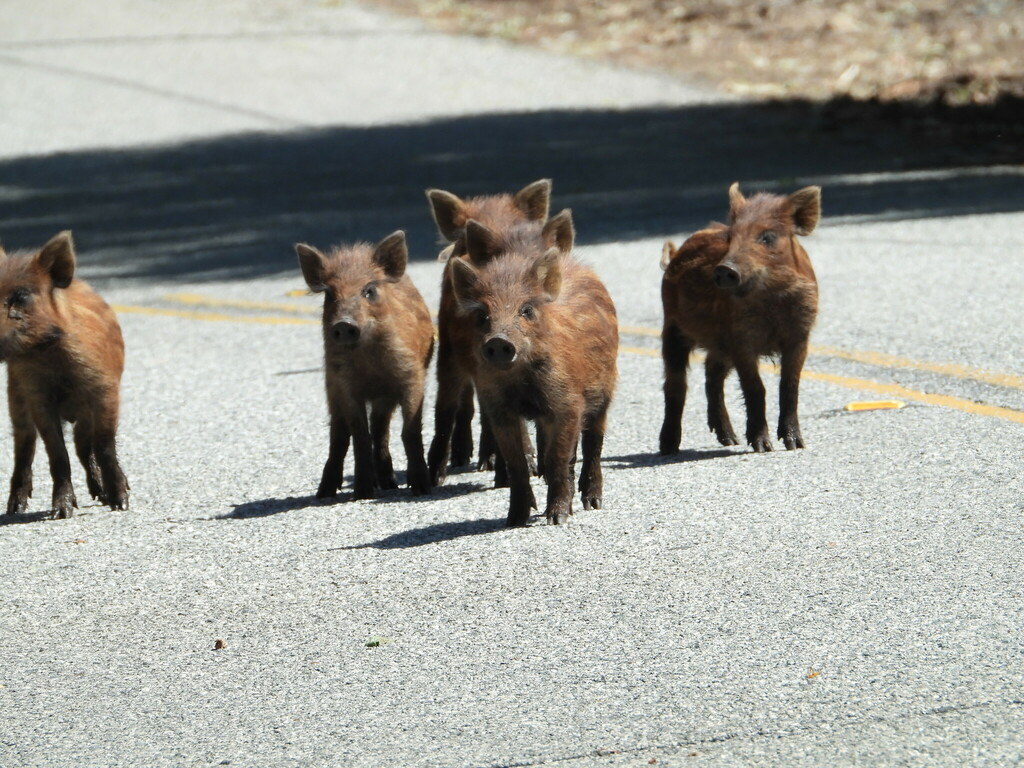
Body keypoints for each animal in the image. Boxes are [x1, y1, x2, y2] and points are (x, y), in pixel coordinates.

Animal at [0, 231, 129, 519]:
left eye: (21, 296)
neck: (52, 358)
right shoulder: (36, 393)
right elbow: (56, 452)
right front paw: (61, 512)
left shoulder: (104, 388)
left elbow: (104, 444)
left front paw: (121, 504)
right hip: (15, 397)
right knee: (24, 444)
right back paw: (14, 509)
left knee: (83, 445)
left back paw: (102, 495)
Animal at [296, 231, 434, 500]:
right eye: (329, 294)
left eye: (369, 290)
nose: (344, 324)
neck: (371, 366)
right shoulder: (344, 385)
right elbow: (359, 435)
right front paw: (362, 494)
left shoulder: (412, 375)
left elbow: (410, 430)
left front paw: (422, 489)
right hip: (332, 390)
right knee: (339, 435)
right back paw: (325, 494)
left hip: (384, 399)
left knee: (381, 429)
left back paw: (389, 484)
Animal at [450, 228, 618, 526]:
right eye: (482, 314)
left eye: (526, 309)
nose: (499, 341)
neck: (522, 384)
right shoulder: (499, 408)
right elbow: (517, 463)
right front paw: (514, 520)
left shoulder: (568, 404)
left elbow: (557, 459)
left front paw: (556, 519)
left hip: (606, 391)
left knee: (593, 445)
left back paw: (592, 503)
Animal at [659, 182, 820, 454]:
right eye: (731, 236)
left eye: (767, 237)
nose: (725, 269)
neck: (772, 298)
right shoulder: (741, 339)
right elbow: (755, 387)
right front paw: (763, 447)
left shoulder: (800, 335)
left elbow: (790, 385)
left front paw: (795, 445)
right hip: (671, 327)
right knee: (676, 384)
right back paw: (668, 447)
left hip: (719, 346)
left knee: (711, 373)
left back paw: (729, 440)